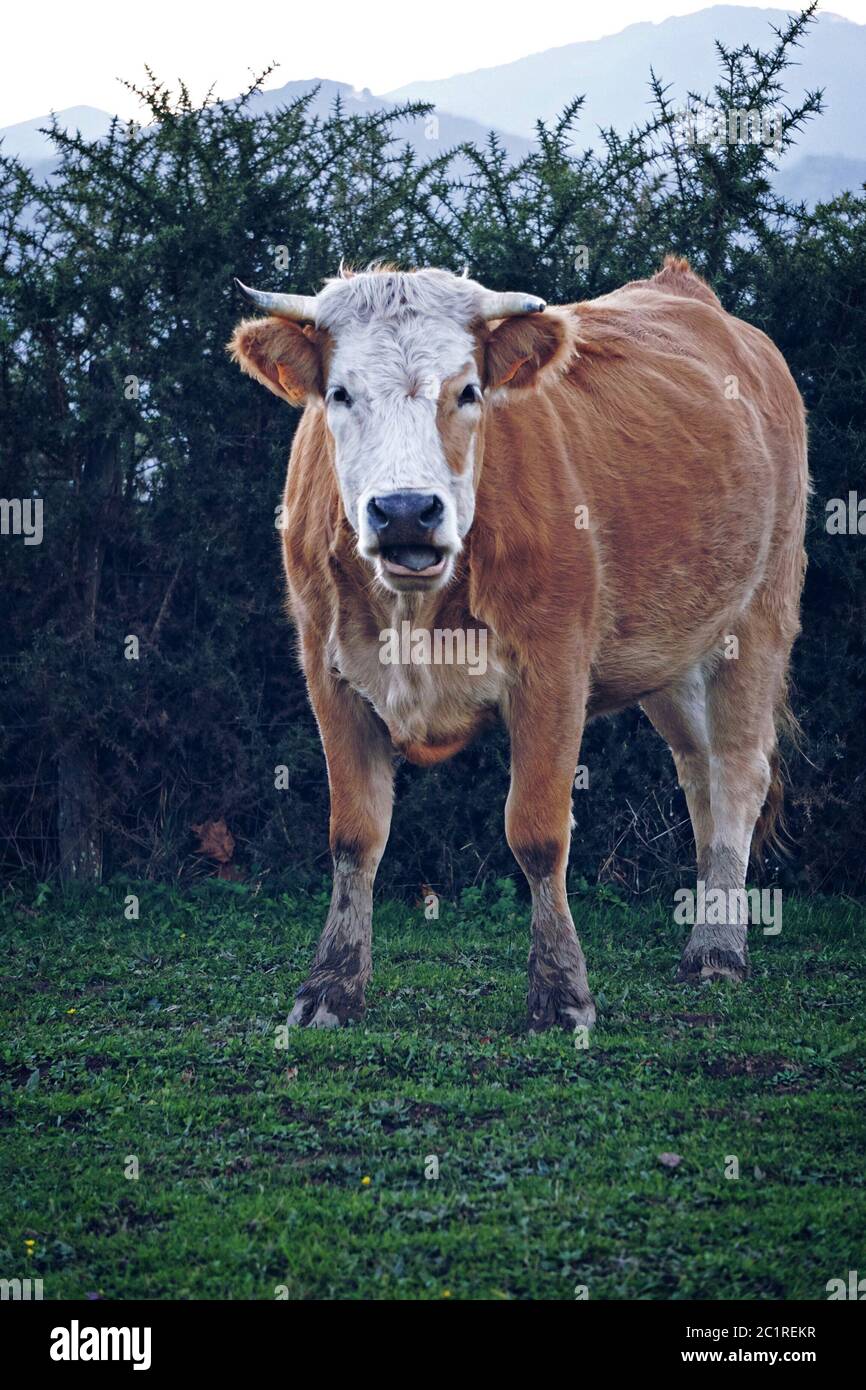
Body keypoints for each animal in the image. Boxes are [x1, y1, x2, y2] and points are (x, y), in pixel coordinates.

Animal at [229, 257, 807, 1032]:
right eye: (340, 393)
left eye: (469, 391)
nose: (406, 511)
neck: (418, 610)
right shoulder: (329, 672)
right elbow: (354, 836)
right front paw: (330, 988)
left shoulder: (554, 670)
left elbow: (537, 833)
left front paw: (561, 993)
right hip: (671, 655)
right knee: (699, 772)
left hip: (758, 618)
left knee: (739, 773)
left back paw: (718, 949)